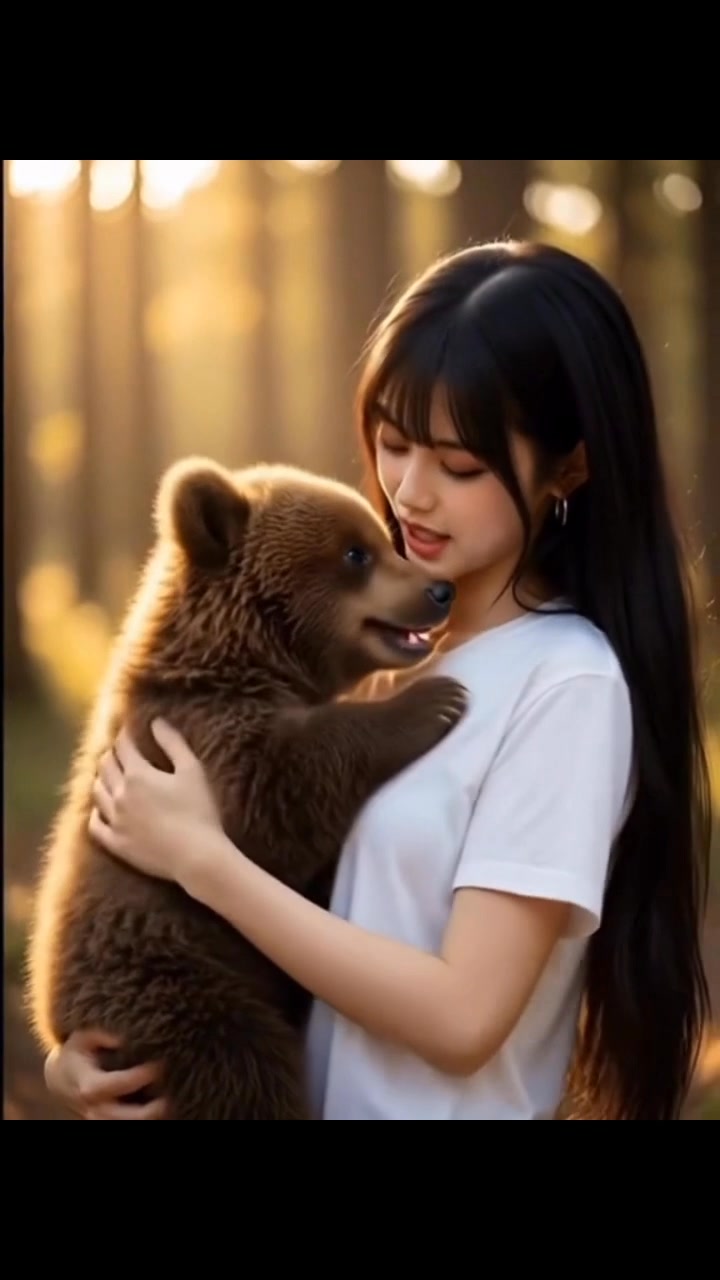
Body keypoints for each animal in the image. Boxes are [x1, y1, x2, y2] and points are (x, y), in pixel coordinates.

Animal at [25, 456, 468, 1120]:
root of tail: (55, 1024)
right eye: (355, 553)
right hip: (173, 983)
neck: (242, 656)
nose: (439, 591)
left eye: (384, 540)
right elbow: (274, 794)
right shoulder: (193, 738)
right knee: (242, 1069)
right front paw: (435, 700)